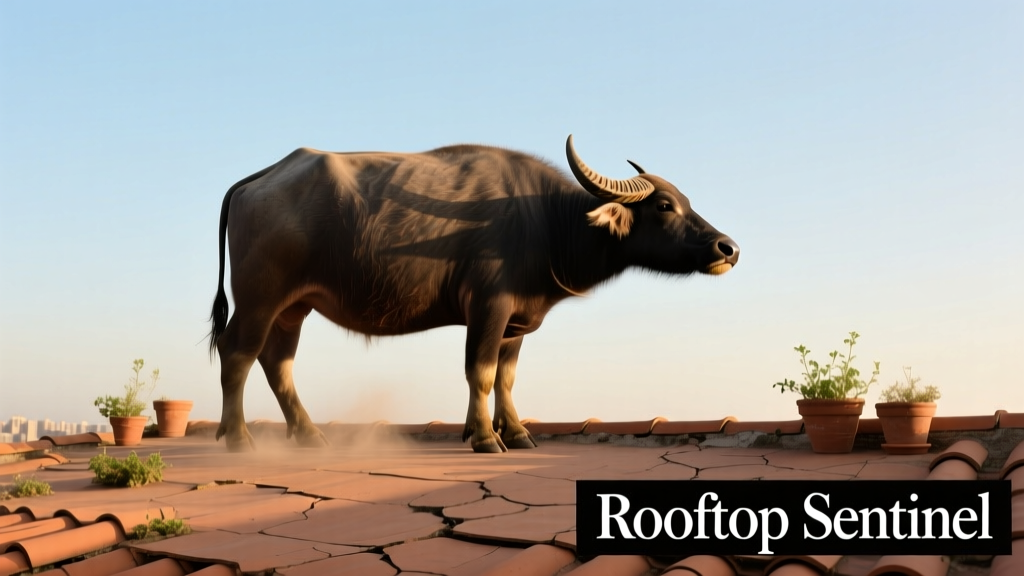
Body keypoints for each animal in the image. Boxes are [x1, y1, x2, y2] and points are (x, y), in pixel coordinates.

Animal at [209, 135, 739, 452]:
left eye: (686, 200)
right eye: (665, 205)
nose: (727, 248)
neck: (546, 221)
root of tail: (262, 177)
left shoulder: (516, 321)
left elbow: (505, 377)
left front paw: (514, 432)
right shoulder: (489, 305)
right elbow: (480, 373)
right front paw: (486, 438)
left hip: (293, 307)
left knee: (277, 362)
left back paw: (308, 434)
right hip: (259, 298)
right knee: (238, 354)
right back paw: (237, 438)